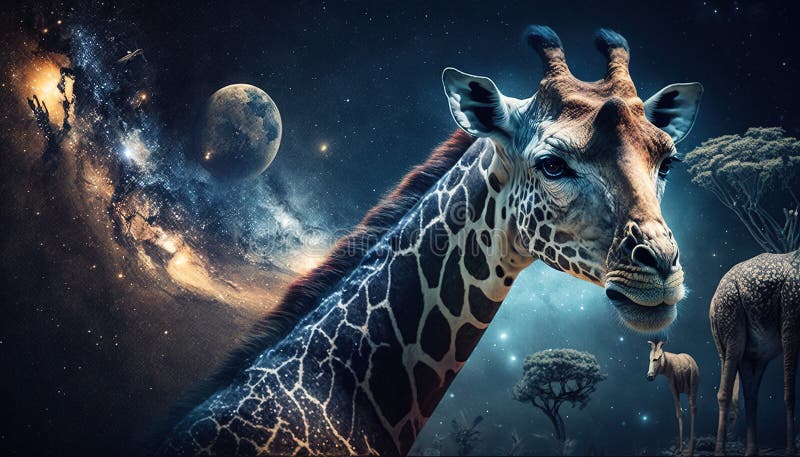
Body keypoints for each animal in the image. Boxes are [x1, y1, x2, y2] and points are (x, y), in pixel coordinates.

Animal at [711, 250, 800, 456]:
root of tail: (712, 305)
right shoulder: (791, 308)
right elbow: (790, 392)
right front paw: (791, 450)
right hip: (730, 310)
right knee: (727, 385)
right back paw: (720, 451)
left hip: (753, 349)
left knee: (751, 393)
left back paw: (752, 451)